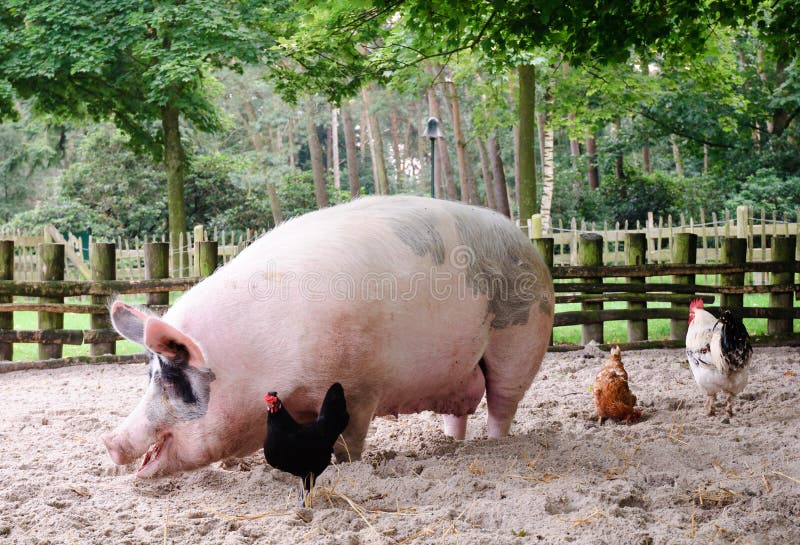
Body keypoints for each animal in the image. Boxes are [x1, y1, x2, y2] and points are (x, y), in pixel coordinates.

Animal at [102, 195, 554, 477]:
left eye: (176, 383)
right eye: (149, 378)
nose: (109, 441)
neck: (253, 360)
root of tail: (528, 245)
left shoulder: (359, 386)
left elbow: (349, 439)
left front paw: (345, 465)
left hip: (522, 340)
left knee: (502, 403)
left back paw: (492, 446)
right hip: (457, 367)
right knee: (458, 410)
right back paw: (451, 446)